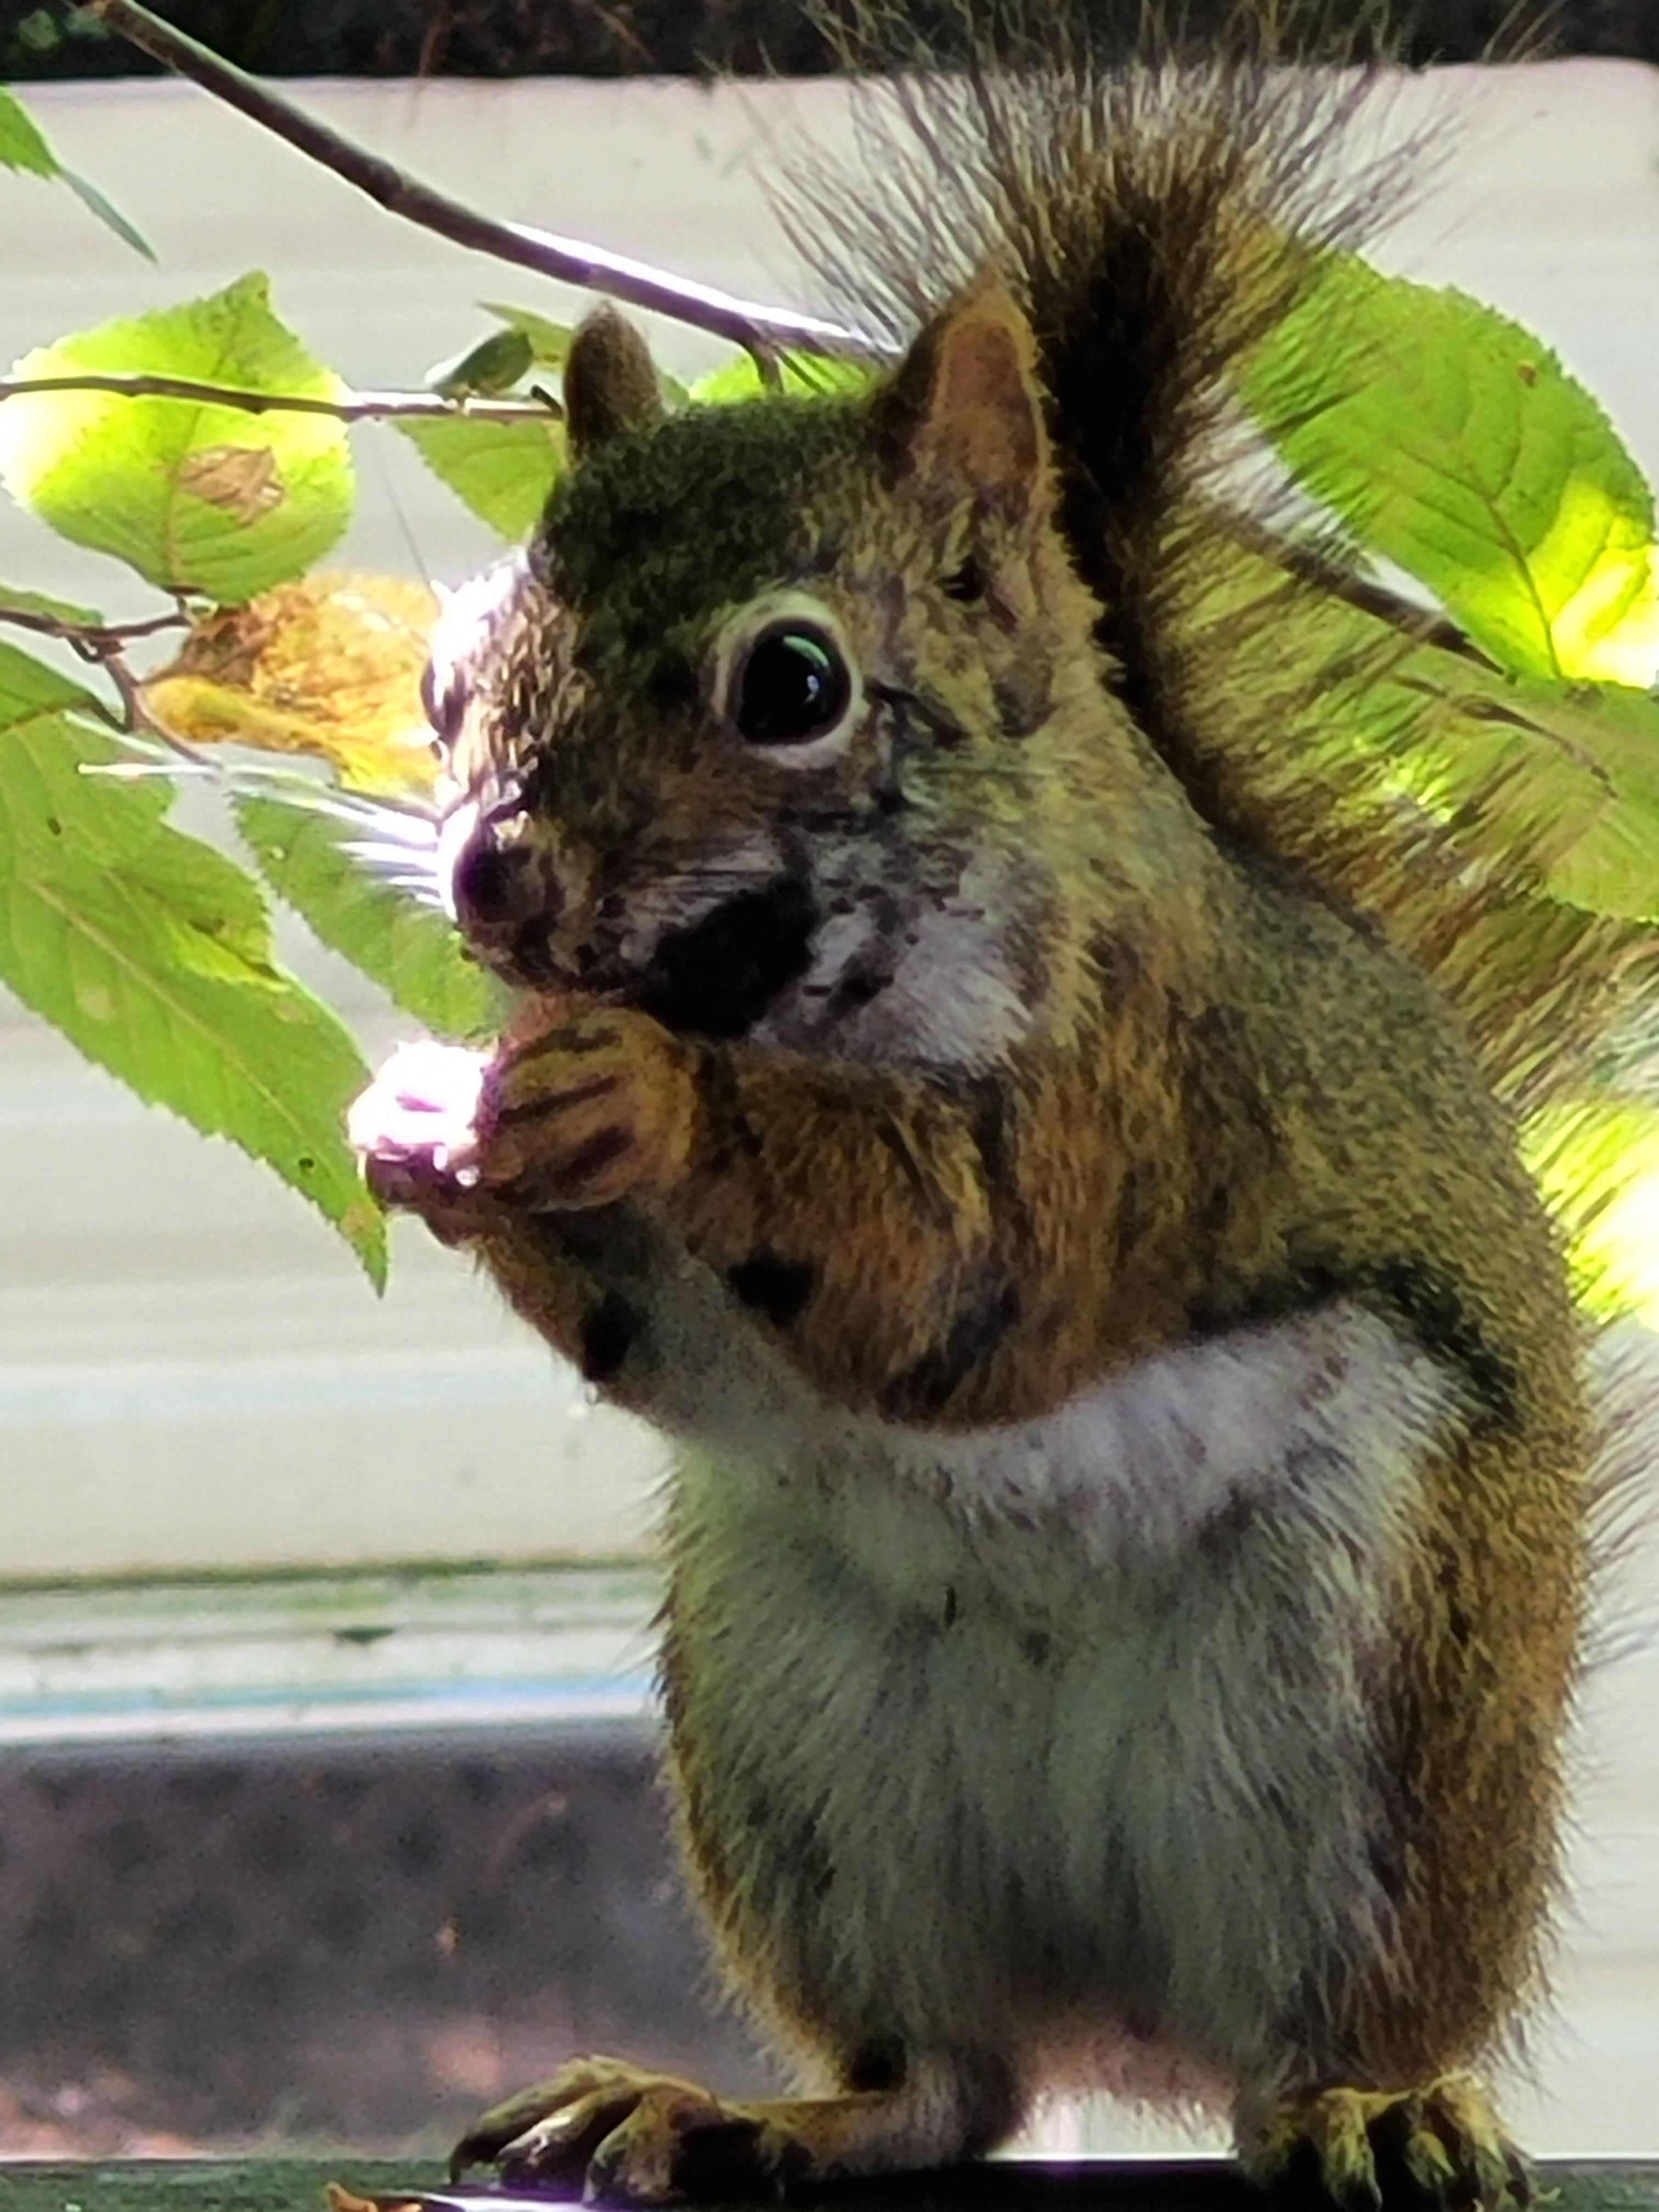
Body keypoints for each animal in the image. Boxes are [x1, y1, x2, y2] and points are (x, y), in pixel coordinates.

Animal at [347, 12, 1651, 2208]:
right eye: (446, 682)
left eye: (791, 685)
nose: (494, 886)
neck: (801, 1002)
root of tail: (1123, 2003)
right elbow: (634, 1325)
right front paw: (435, 1118)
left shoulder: (1133, 1080)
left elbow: (966, 1274)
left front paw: (654, 1099)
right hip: (799, 1745)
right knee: (945, 2084)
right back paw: (720, 2105)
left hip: (1378, 1708)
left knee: (1309, 2036)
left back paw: (1371, 2103)